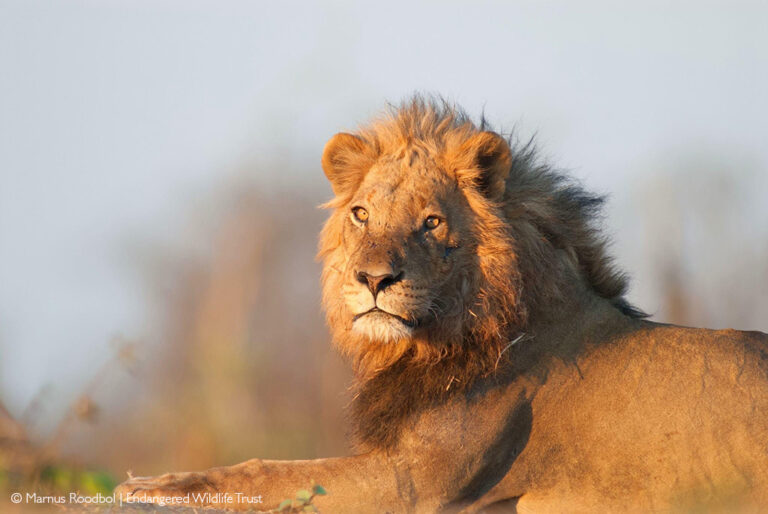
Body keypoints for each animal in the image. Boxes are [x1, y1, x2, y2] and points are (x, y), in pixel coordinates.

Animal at [116, 97, 768, 513]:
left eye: (431, 222)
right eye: (362, 214)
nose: (373, 279)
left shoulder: (412, 484)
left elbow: (274, 475)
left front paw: (147, 486)